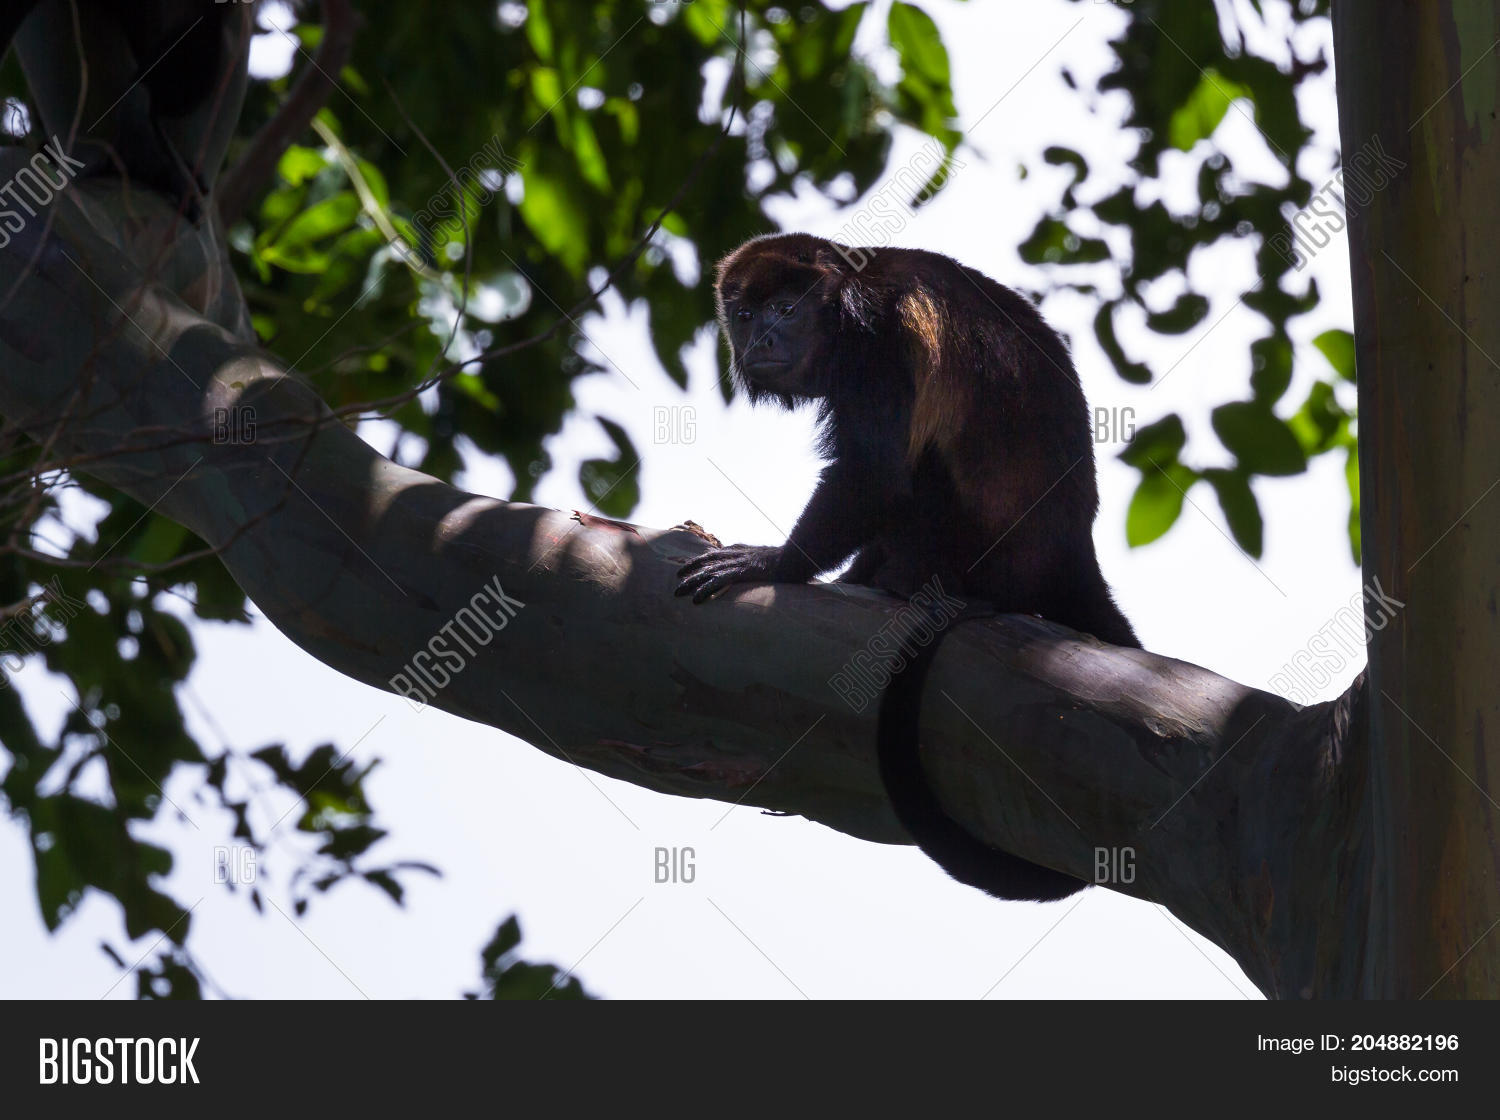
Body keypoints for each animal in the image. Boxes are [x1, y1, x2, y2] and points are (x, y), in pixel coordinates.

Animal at [676, 232, 1139, 902]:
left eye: (786, 309)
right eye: (744, 315)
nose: (761, 341)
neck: (843, 303)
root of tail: (1072, 548)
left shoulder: (882, 344)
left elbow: (874, 474)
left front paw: (773, 562)